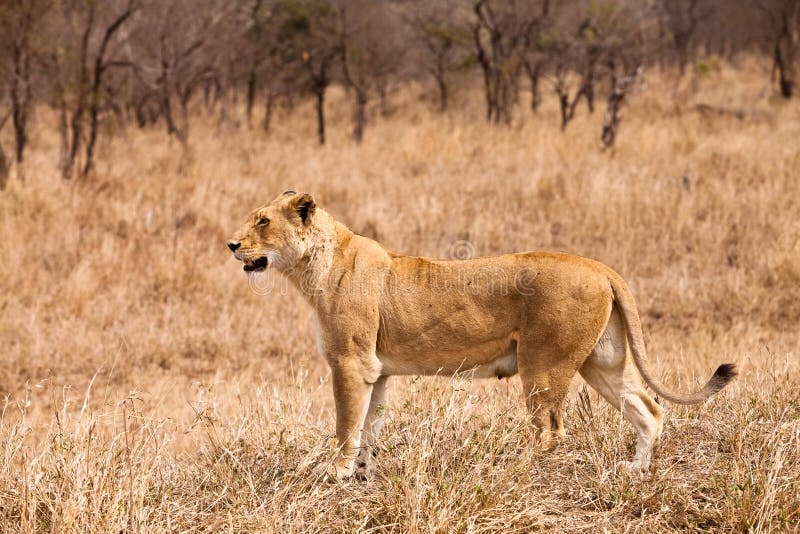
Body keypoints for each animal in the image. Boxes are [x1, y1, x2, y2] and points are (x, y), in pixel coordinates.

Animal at [227, 191, 737, 479]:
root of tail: (601, 267)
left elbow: (345, 426)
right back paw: (636, 470)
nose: (232, 245)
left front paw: (334, 474)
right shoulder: (378, 371)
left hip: (543, 363)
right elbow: (370, 426)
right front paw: (363, 474)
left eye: (263, 221)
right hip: (601, 360)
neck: (311, 267)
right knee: (648, 408)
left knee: (550, 429)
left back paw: (514, 469)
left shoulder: (350, 364)